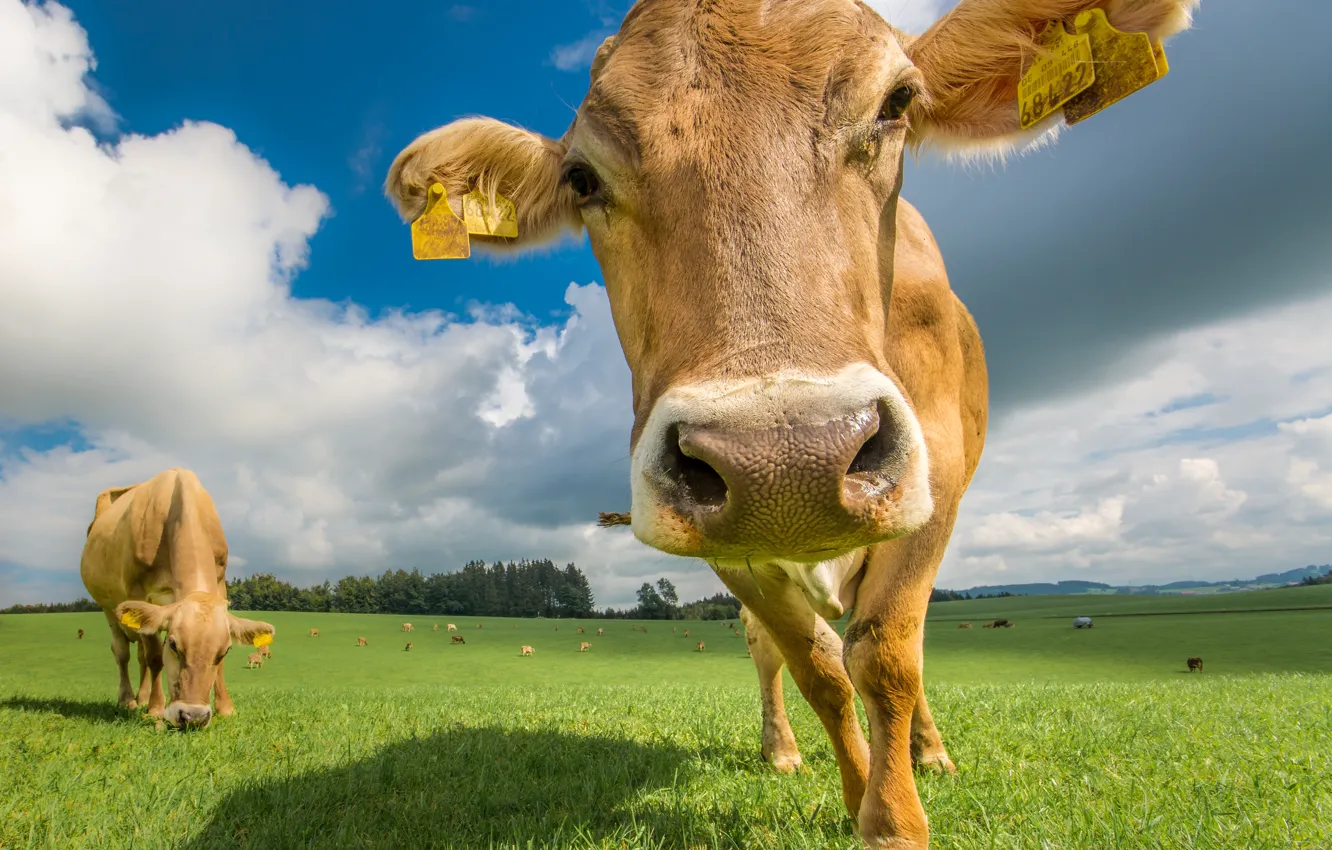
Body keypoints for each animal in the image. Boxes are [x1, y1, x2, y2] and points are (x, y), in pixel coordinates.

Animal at [79, 468, 274, 729]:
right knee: (122, 652)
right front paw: (155, 710)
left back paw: (141, 697)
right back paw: (128, 700)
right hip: (109, 608)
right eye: (173, 645)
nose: (193, 716)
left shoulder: (220, 584)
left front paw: (226, 708)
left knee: (139, 657)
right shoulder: (139, 594)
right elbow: (154, 657)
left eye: (224, 651)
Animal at [386, 3, 1201, 841]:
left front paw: (895, 819)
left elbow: (886, 655)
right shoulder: (730, 547)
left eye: (897, 104)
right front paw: (859, 794)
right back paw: (784, 750)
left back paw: (931, 751)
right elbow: (819, 667)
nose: (786, 461)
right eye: (582, 177)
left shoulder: (934, 478)